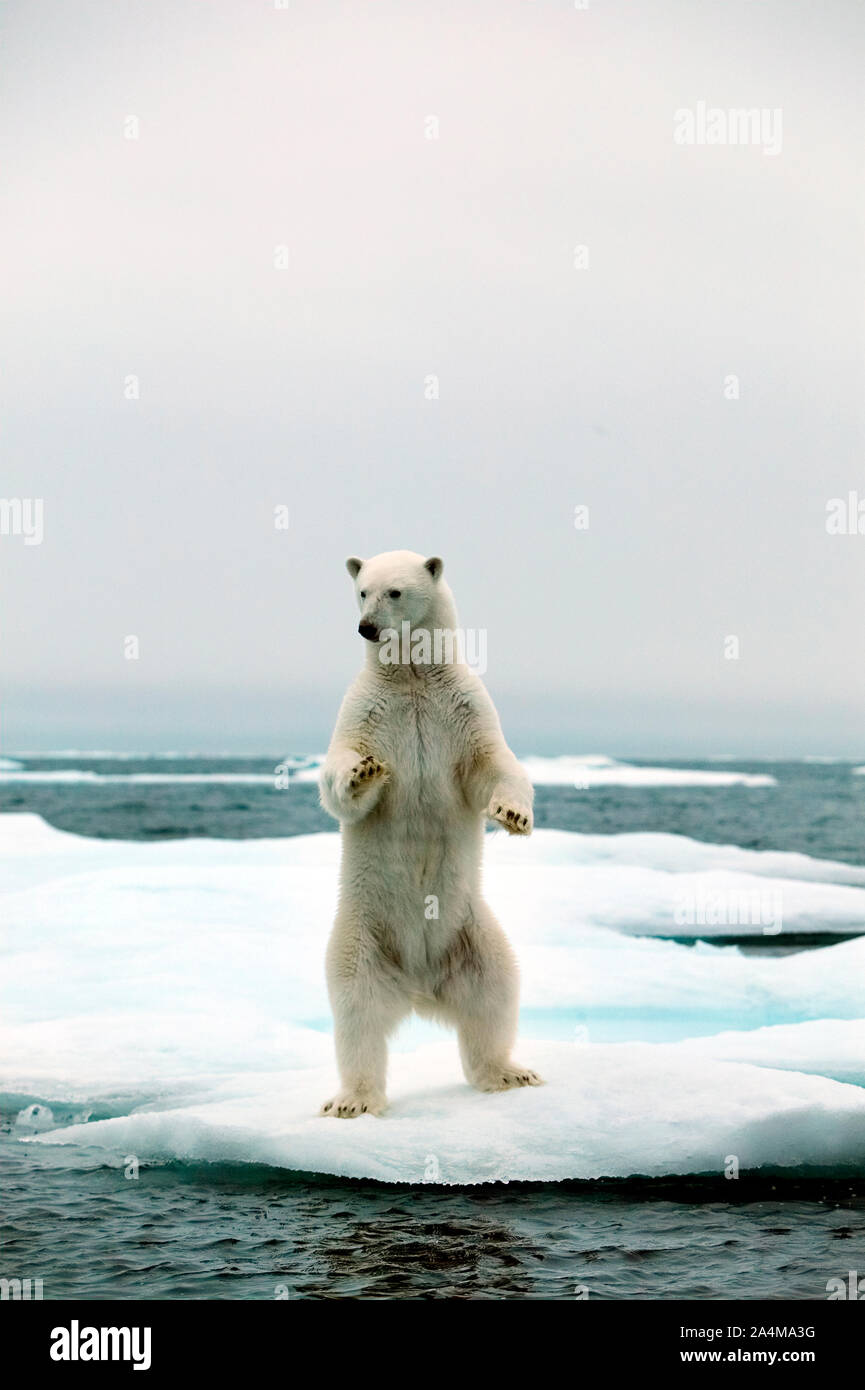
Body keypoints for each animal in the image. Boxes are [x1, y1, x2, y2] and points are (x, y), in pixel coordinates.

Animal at [318, 550, 542, 1117]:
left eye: (394, 592)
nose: (366, 627)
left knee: (496, 992)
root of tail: (420, 987)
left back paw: (508, 1072)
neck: (413, 678)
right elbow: (336, 777)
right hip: (360, 934)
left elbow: (493, 764)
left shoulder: (463, 707)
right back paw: (353, 1100)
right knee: (356, 1012)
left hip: (473, 931)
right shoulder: (365, 709)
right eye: (362, 590)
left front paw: (512, 814)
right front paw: (364, 772)